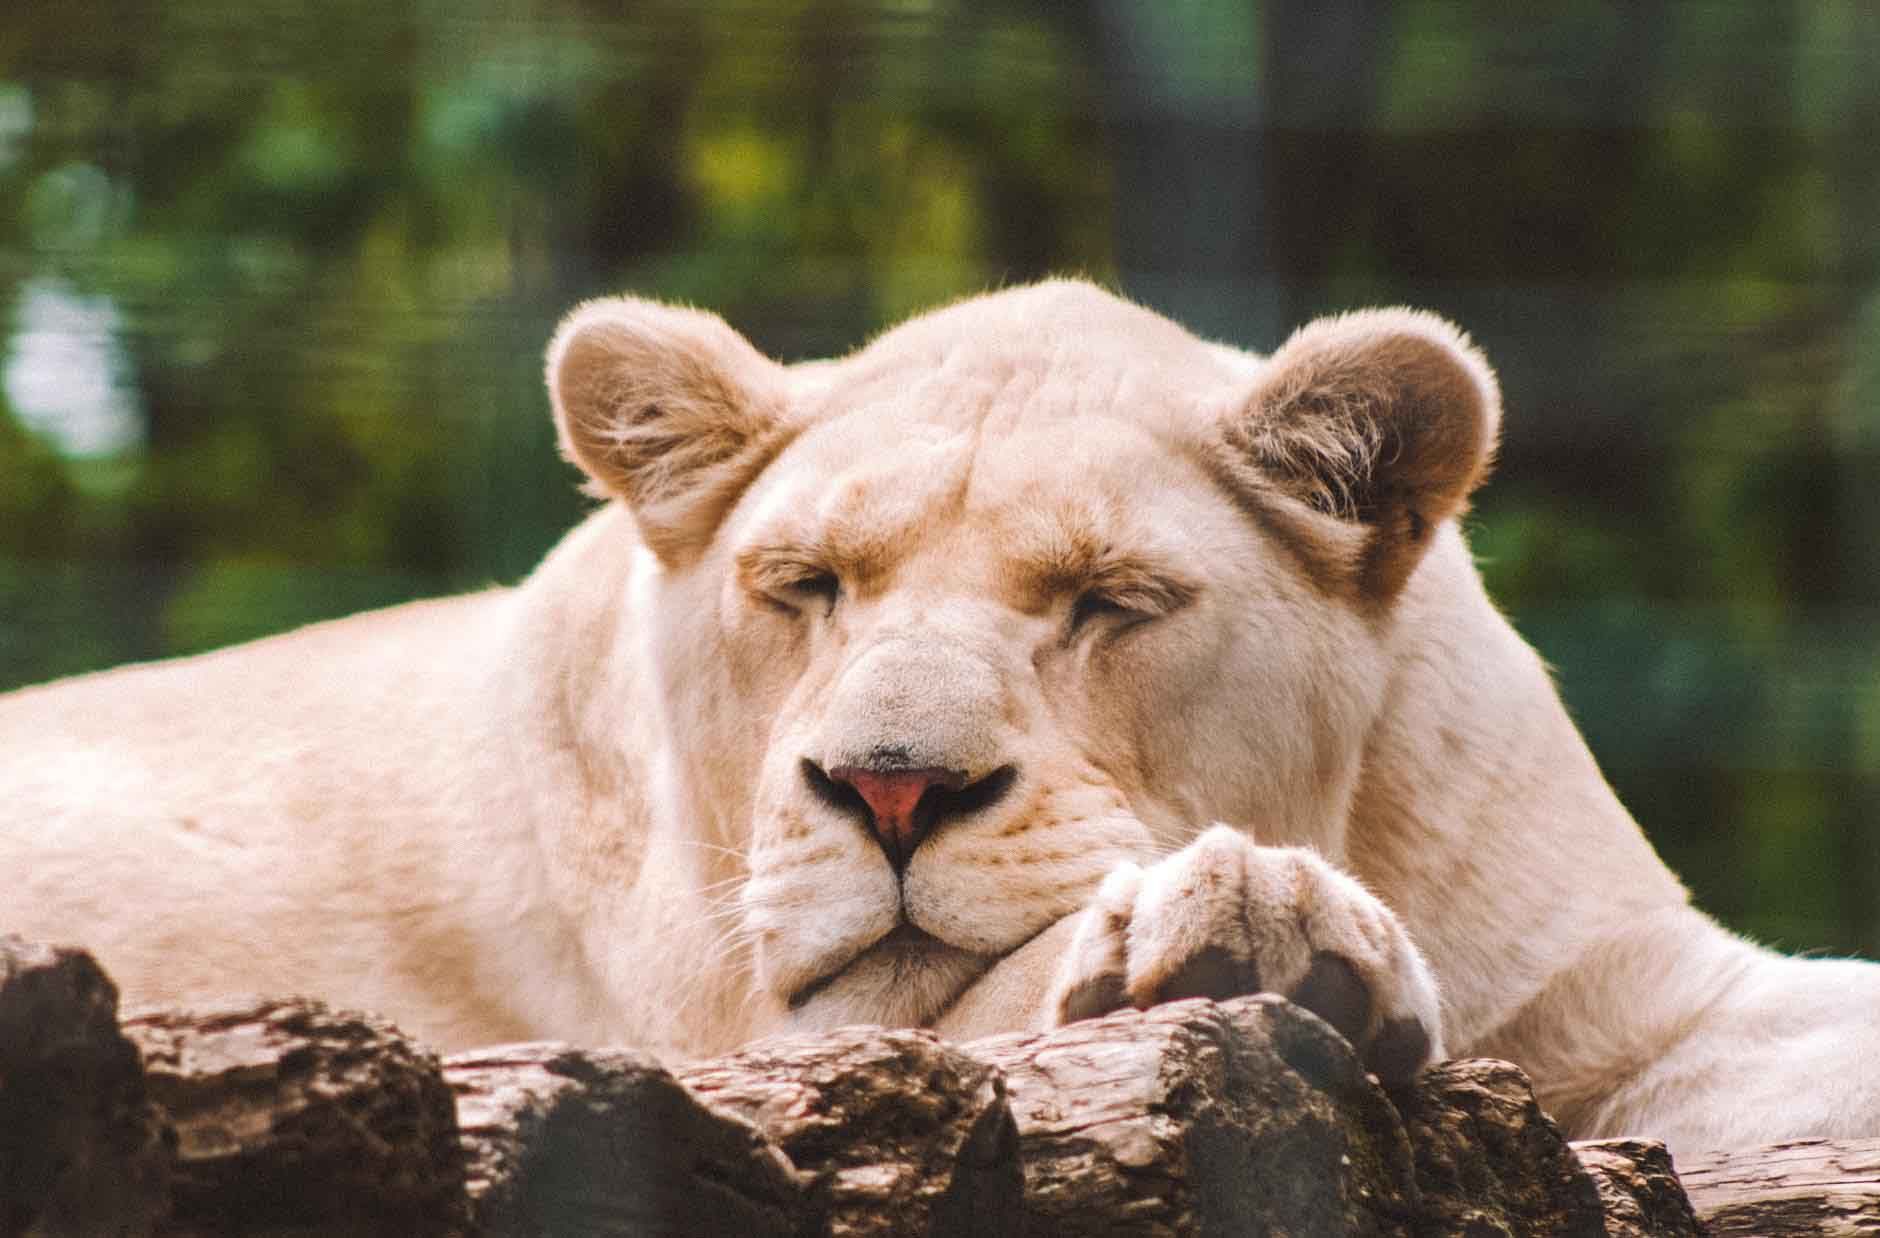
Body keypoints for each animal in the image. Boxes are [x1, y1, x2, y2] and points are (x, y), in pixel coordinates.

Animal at [4, 279, 1876, 1158]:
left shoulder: (1630, 981)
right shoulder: (739, 1038)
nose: (889, 790)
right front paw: (1239, 925)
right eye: (810, 584)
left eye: (1107, 600)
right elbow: (990, 998)